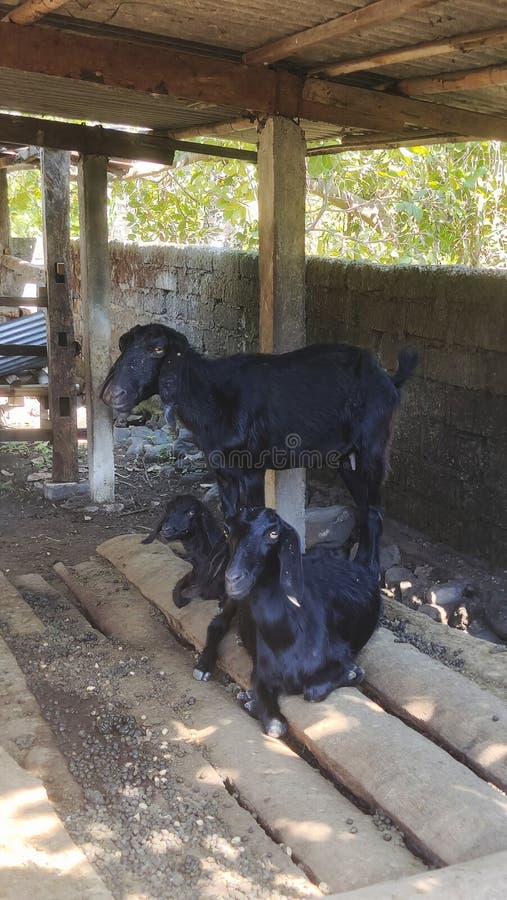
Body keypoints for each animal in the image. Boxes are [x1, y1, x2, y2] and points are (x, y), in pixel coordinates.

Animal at [101, 323, 417, 574]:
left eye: (158, 349)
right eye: (124, 346)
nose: (112, 394)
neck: (211, 399)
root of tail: (389, 379)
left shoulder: (252, 469)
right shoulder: (223, 472)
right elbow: (230, 521)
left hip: (372, 447)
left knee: (374, 509)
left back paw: (369, 569)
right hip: (345, 457)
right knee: (363, 507)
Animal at [224, 507, 381, 739]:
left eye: (274, 533)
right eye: (227, 530)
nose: (233, 579)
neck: (288, 640)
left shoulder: (342, 654)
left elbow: (313, 690)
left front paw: (354, 673)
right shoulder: (261, 672)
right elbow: (276, 727)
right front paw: (251, 702)